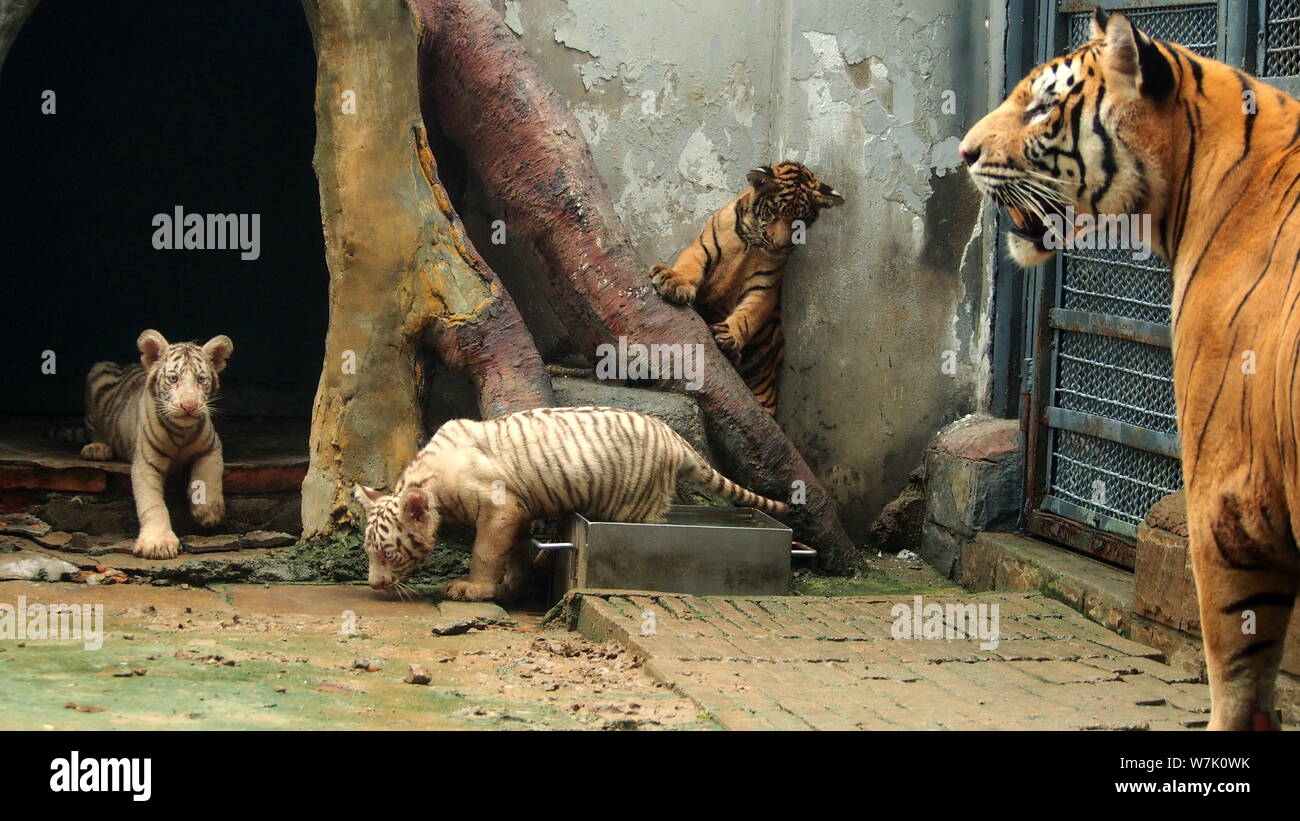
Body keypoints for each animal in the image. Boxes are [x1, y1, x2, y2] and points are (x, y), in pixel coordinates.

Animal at [78, 329, 234, 559]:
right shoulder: (146, 463)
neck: (181, 431)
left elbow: (209, 474)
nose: (189, 406)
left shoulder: (212, 446)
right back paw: (97, 448)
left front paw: (208, 512)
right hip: (96, 375)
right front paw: (158, 543)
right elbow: (152, 503)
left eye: (201, 379)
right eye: (173, 378)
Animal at [352, 406, 789, 602]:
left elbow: (486, 551)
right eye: (368, 553)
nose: (374, 584)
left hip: (635, 507)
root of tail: (673, 436)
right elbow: (514, 552)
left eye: (389, 554)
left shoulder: (499, 507)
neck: (428, 478)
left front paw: (474, 589)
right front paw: (511, 585)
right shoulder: (518, 511)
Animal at [649, 161, 843, 415]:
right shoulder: (704, 248)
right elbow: (689, 265)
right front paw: (672, 281)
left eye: (799, 222)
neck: (753, 243)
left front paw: (729, 337)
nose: (780, 245)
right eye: (774, 212)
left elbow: (748, 316)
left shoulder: (764, 287)